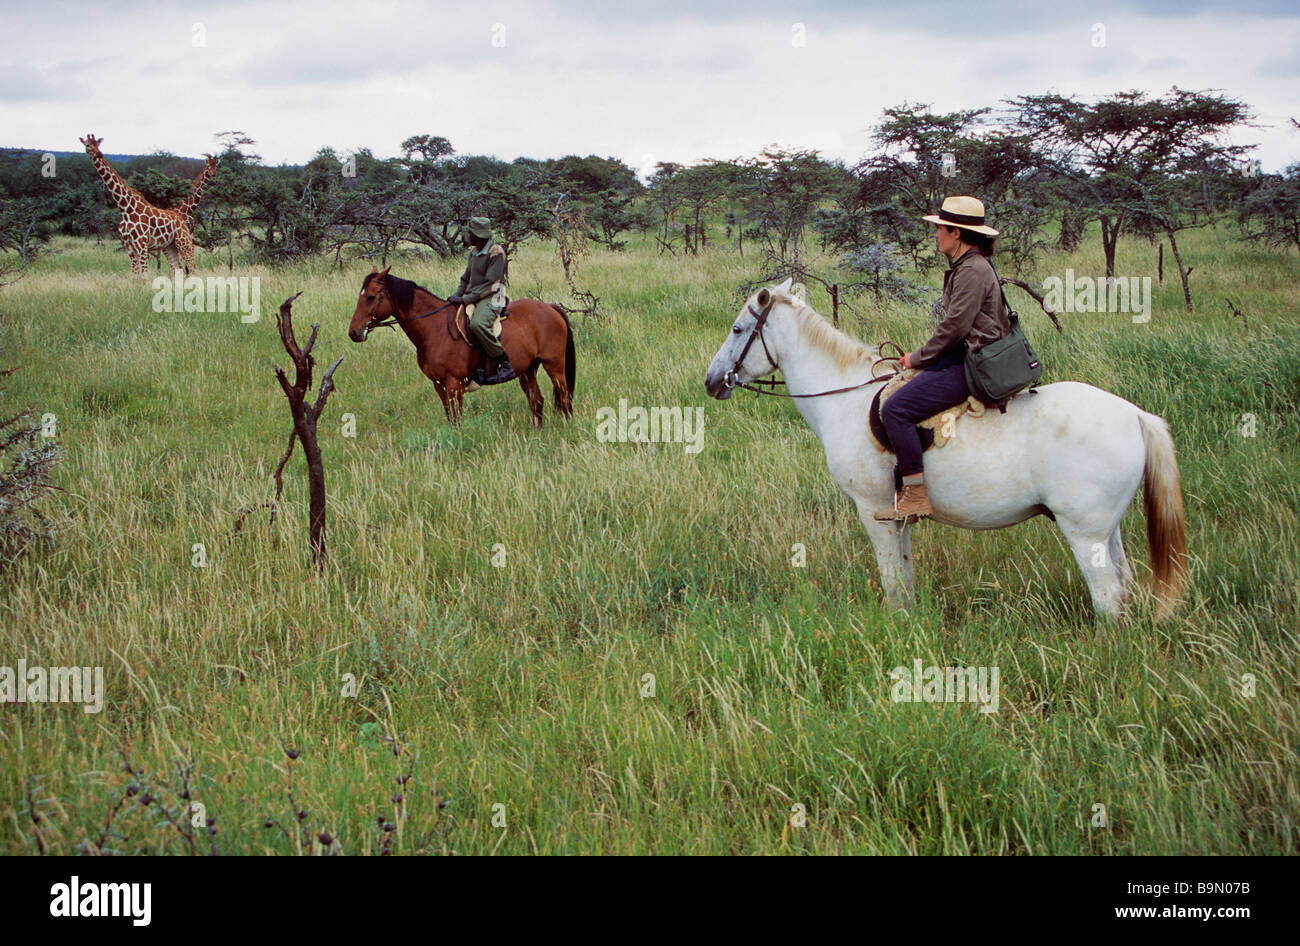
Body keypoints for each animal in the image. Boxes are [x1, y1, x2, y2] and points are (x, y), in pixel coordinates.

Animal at [348, 267, 575, 426]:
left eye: (371, 297)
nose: (354, 333)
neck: (435, 329)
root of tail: (550, 308)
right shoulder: (439, 385)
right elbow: (450, 418)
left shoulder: (454, 385)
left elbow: (457, 419)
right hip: (528, 370)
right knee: (537, 401)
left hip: (554, 366)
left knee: (564, 398)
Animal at [703, 279, 1188, 622]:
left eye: (738, 329)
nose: (712, 381)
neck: (845, 398)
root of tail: (1134, 415)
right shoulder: (896, 516)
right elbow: (905, 575)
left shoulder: (872, 509)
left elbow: (892, 580)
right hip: (1108, 530)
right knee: (1124, 586)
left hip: (1084, 534)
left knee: (1107, 596)